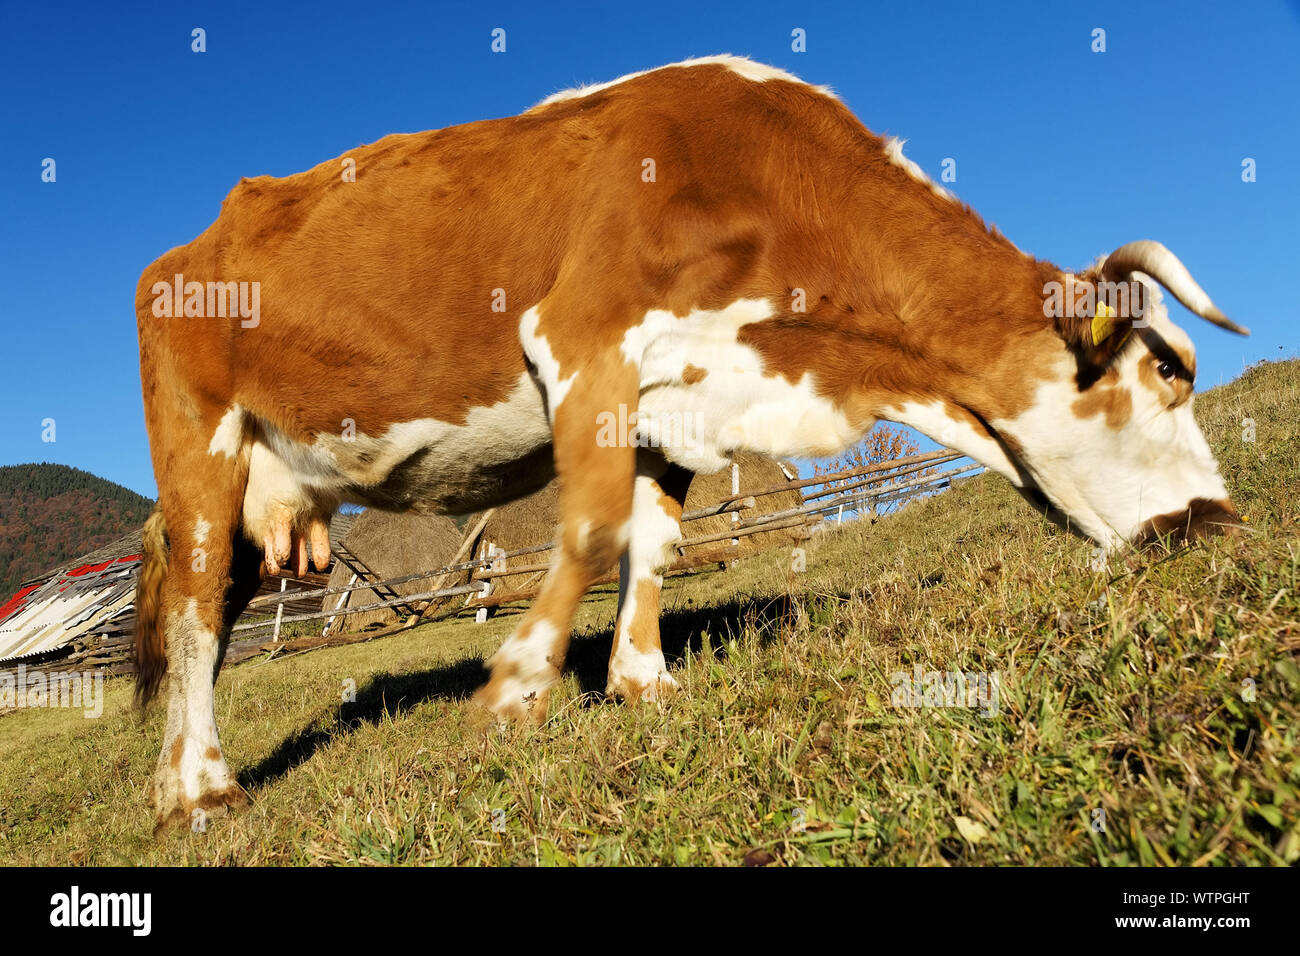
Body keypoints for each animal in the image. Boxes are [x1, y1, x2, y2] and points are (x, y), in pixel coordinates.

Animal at [133, 55, 1245, 830]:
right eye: (1168, 376)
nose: (1222, 519)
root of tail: (189, 245)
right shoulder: (580, 338)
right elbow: (587, 528)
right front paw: (519, 684)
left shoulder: (687, 398)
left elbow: (653, 539)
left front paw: (641, 681)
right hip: (200, 451)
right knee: (192, 614)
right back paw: (203, 789)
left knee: (215, 621)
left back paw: (175, 783)